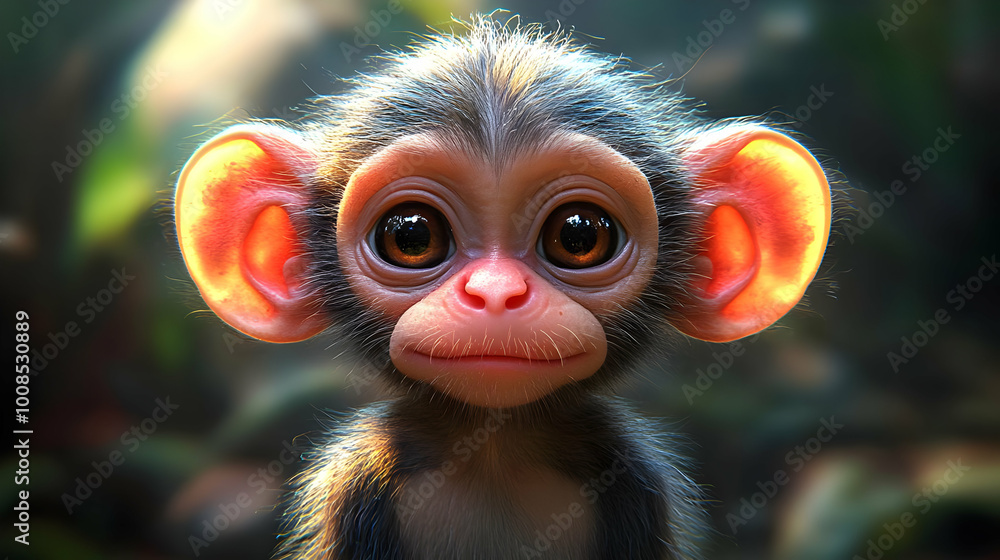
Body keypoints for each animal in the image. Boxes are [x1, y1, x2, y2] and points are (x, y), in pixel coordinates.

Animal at [173, 15, 831, 560]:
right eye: (411, 234)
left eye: (578, 234)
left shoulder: (637, 482)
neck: (494, 451)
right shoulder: (356, 483)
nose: (495, 293)